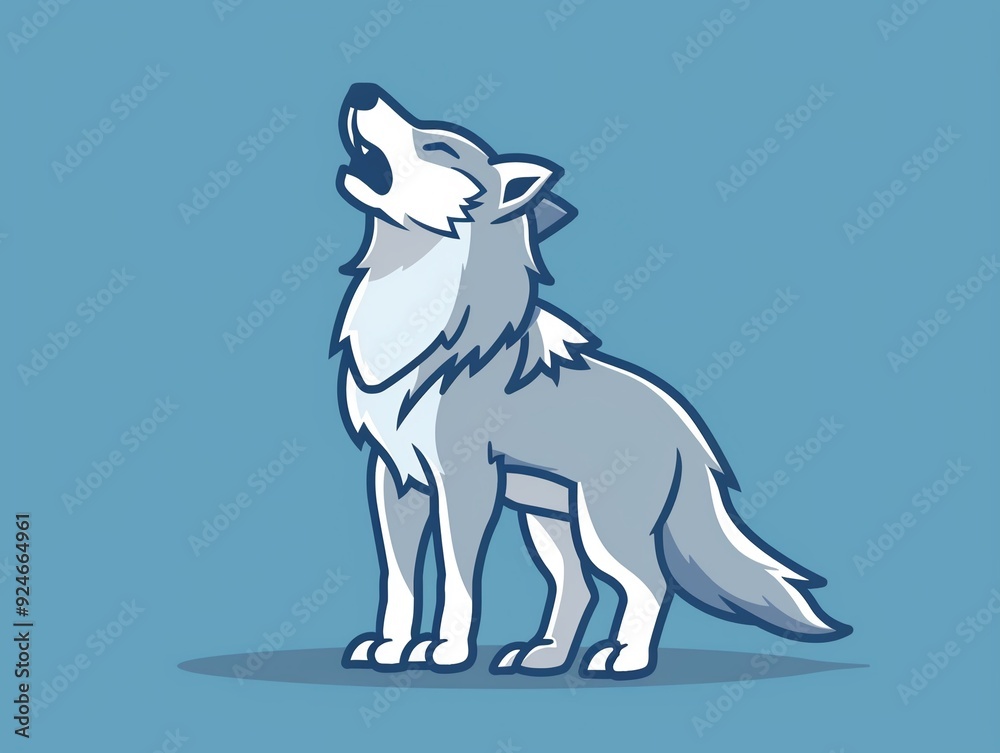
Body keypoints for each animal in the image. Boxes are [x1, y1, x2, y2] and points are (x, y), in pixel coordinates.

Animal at [331, 83, 851, 679]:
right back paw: (545, 656)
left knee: (650, 583)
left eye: (439, 145)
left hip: (603, 529)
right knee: (581, 589)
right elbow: (398, 581)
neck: (416, 327)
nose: (362, 90)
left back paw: (623, 659)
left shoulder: (463, 483)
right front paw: (390, 649)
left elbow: (458, 579)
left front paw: (446, 651)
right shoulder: (394, 479)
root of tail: (687, 427)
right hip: (550, 523)